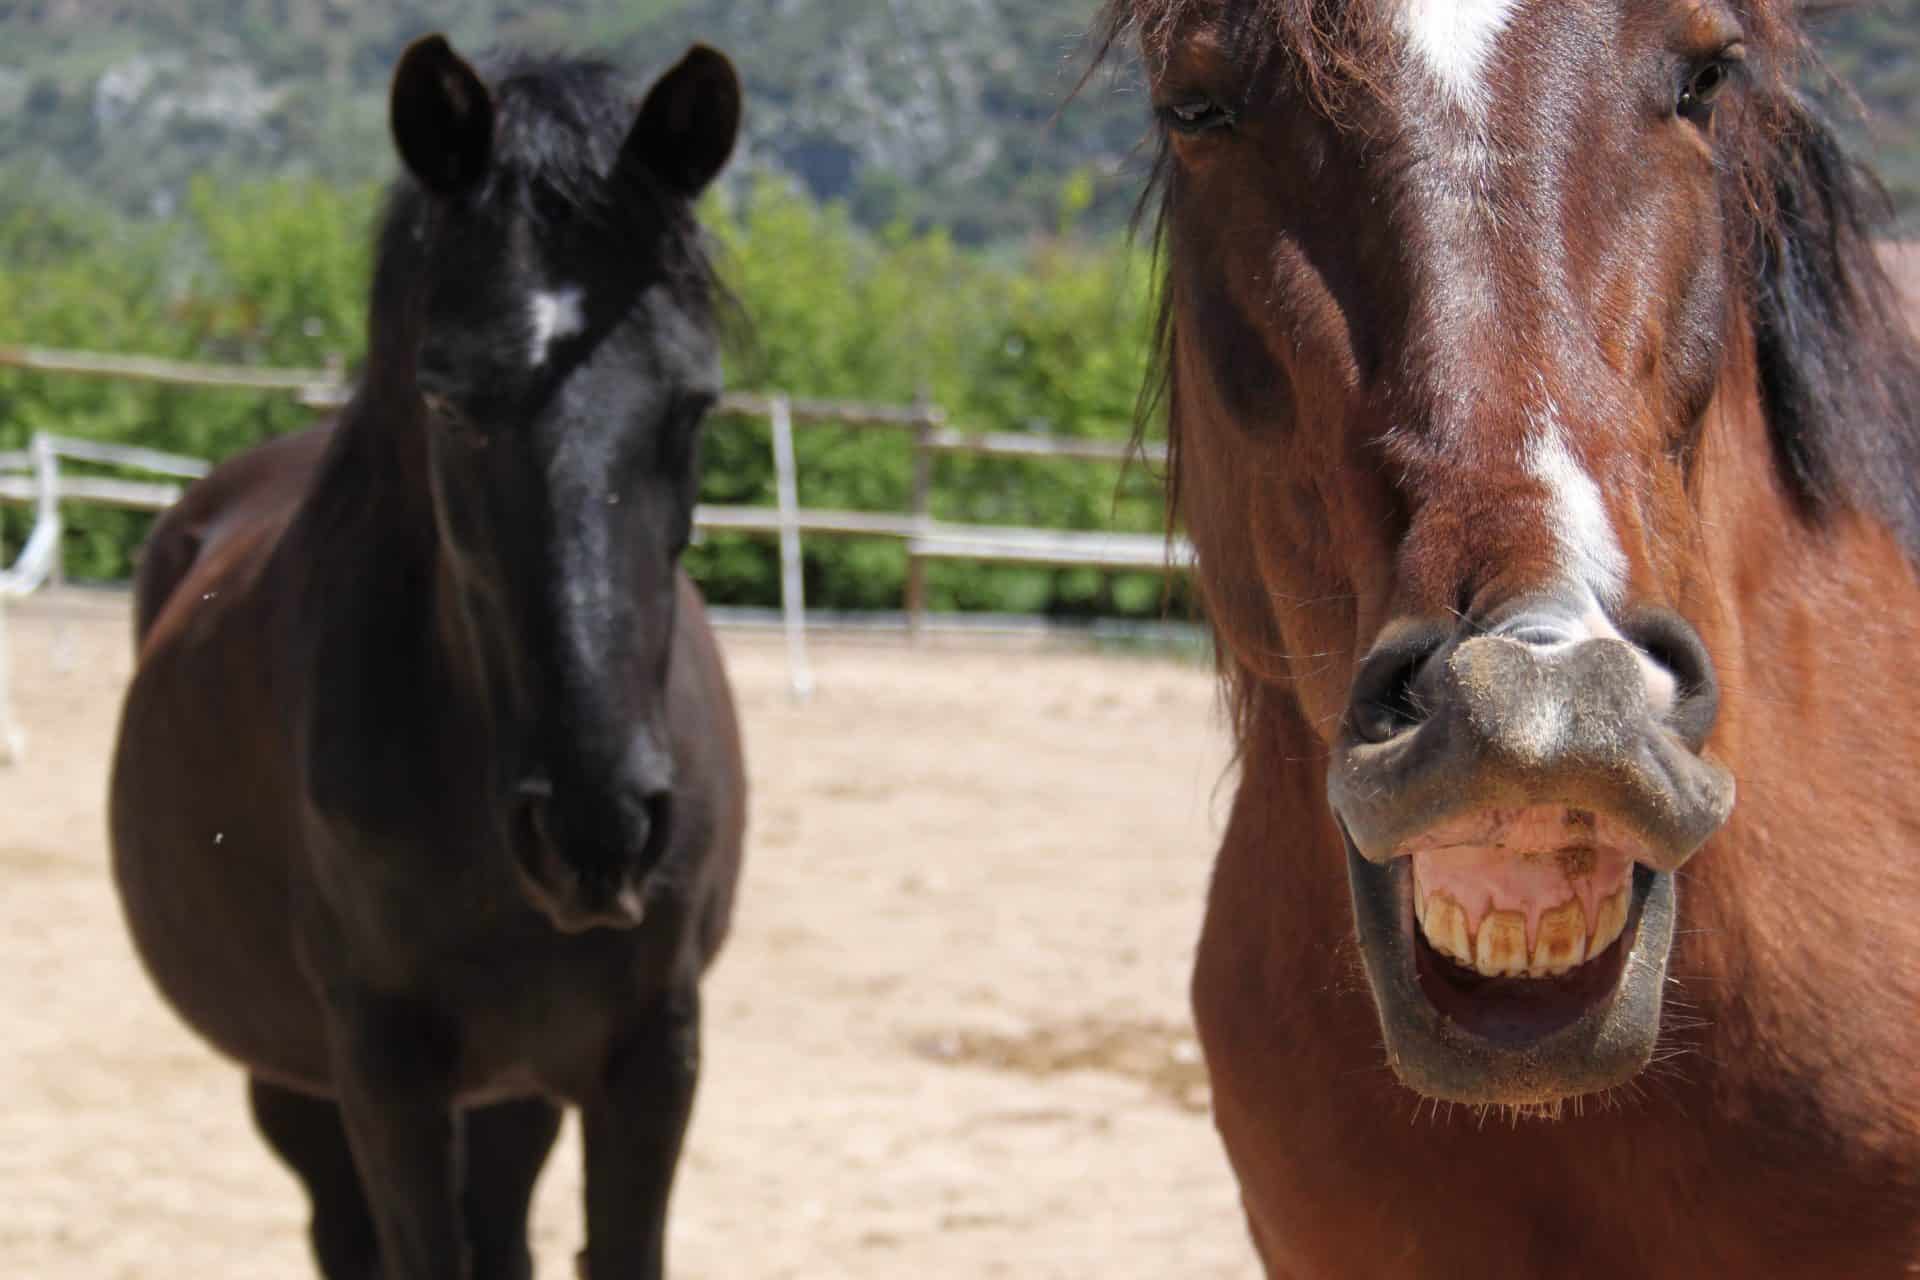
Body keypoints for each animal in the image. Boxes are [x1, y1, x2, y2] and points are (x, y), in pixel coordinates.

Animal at [108, 36, 745, 1280]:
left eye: (694, 405)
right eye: (449, 402)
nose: (597, 828)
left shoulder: (655, 1054)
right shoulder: (383, 1068)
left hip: (516, 1087)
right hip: (300, 1080)